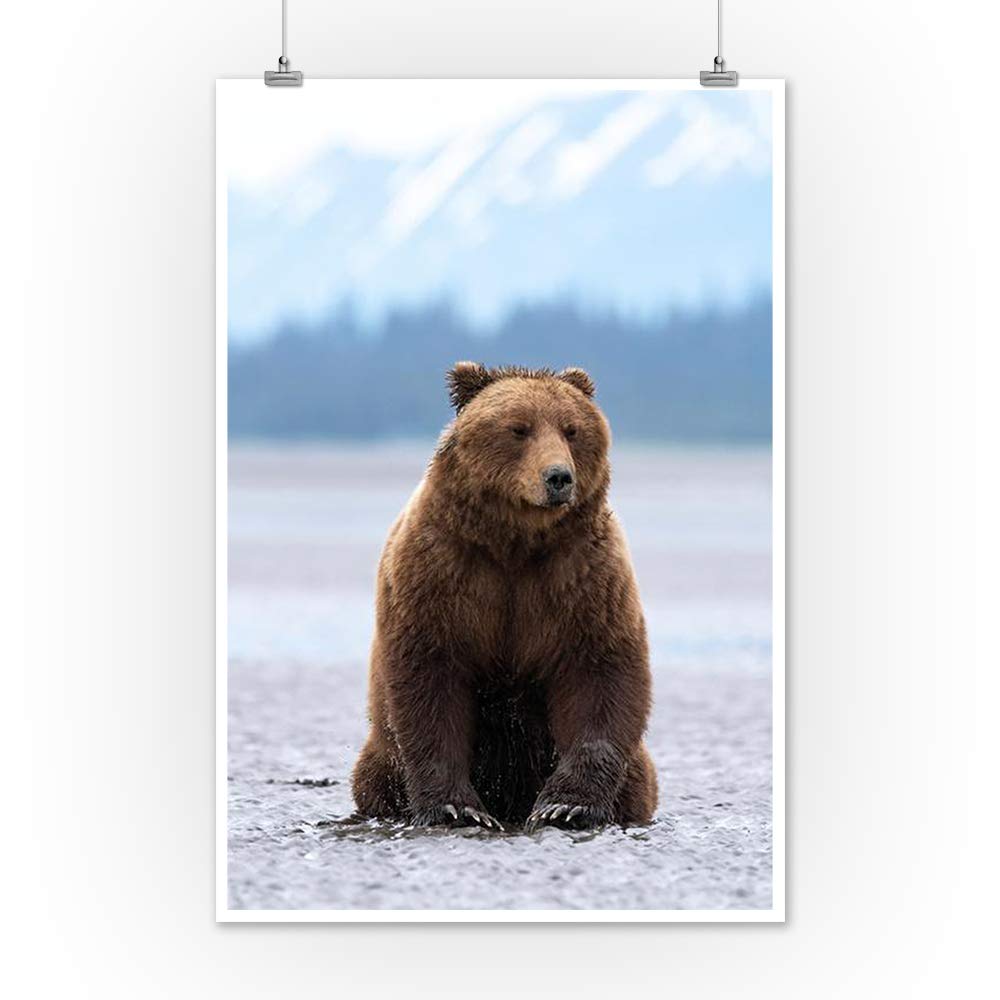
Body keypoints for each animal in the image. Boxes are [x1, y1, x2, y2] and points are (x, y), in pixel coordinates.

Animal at [351, 362, 657, 831]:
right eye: (519, 428)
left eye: (571, 430)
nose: (558, 477)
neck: (514, 544)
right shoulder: (439, 573)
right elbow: (428, 680)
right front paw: (459, 809)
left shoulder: (584, 578)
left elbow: (600, 671)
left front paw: (565, 806)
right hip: (378, 762)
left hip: (634, 771)